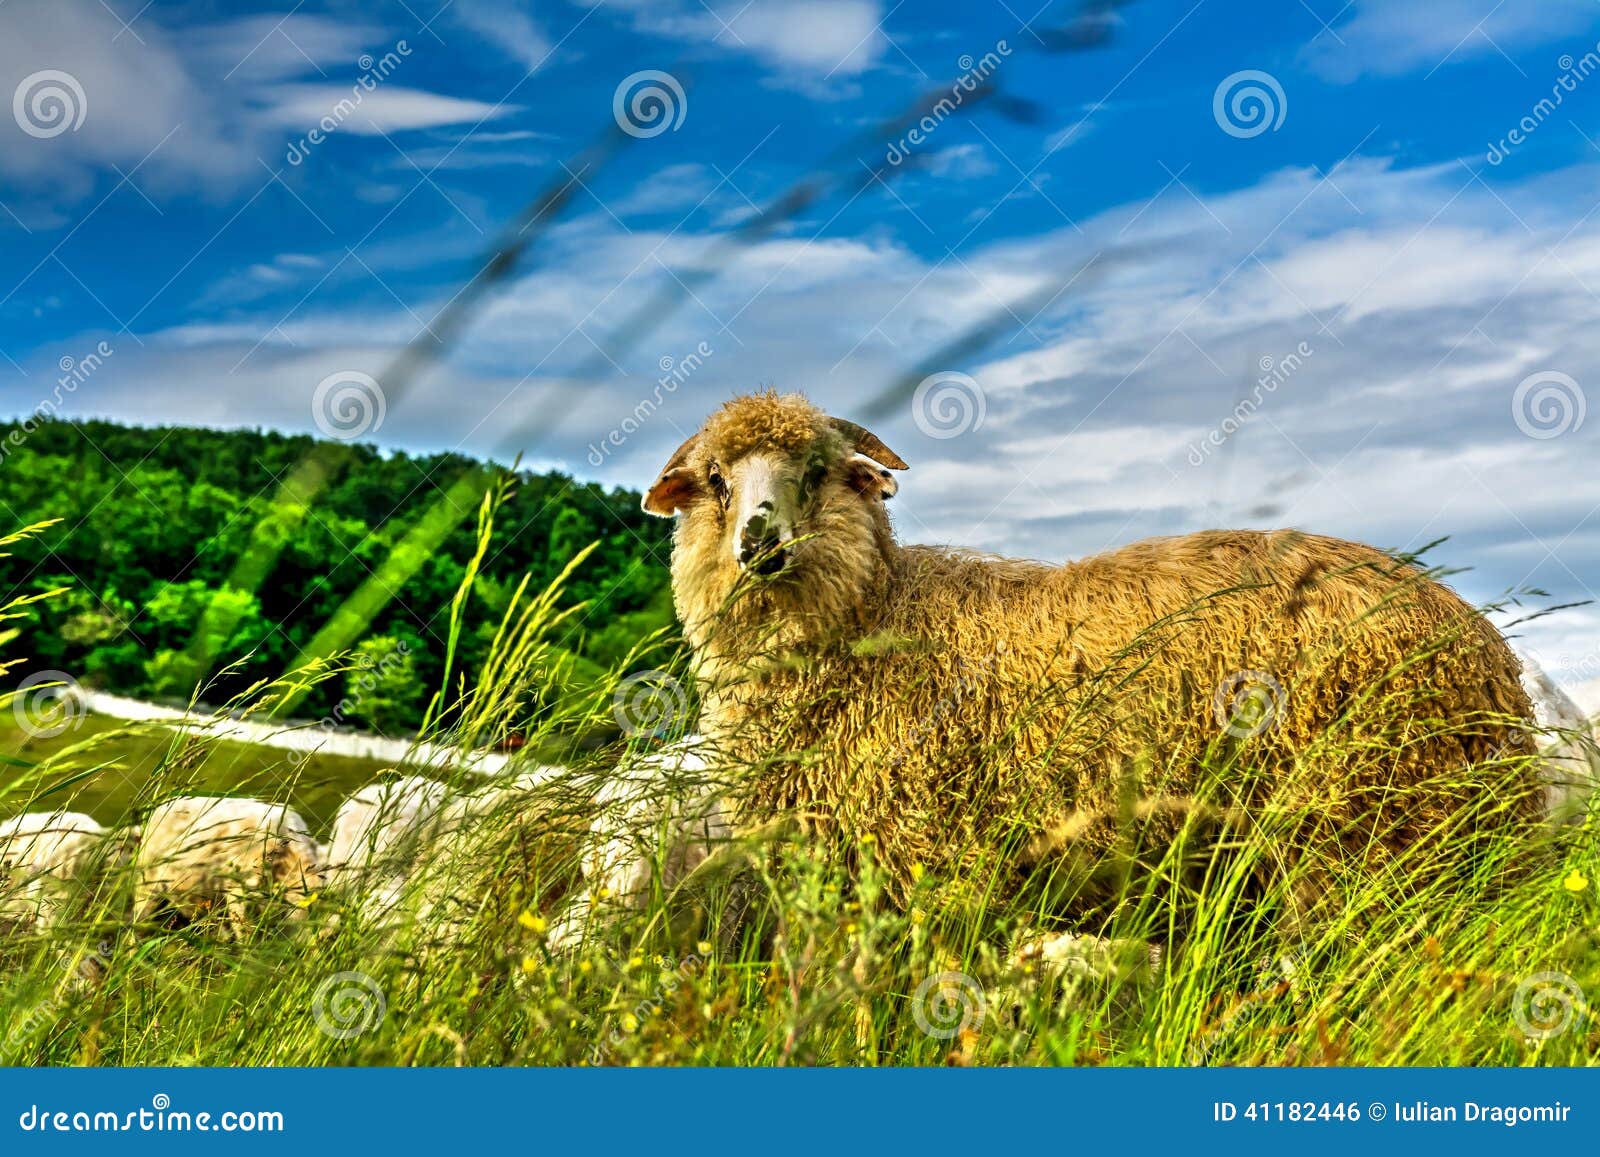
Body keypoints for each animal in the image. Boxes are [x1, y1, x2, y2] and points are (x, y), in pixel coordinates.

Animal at [640, 390, 1542, 915]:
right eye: (717, 481)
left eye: (818, 470)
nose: (759, 541)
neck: (881, 613)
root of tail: (1480, 639)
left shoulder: (924, 858)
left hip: (1381, 826)